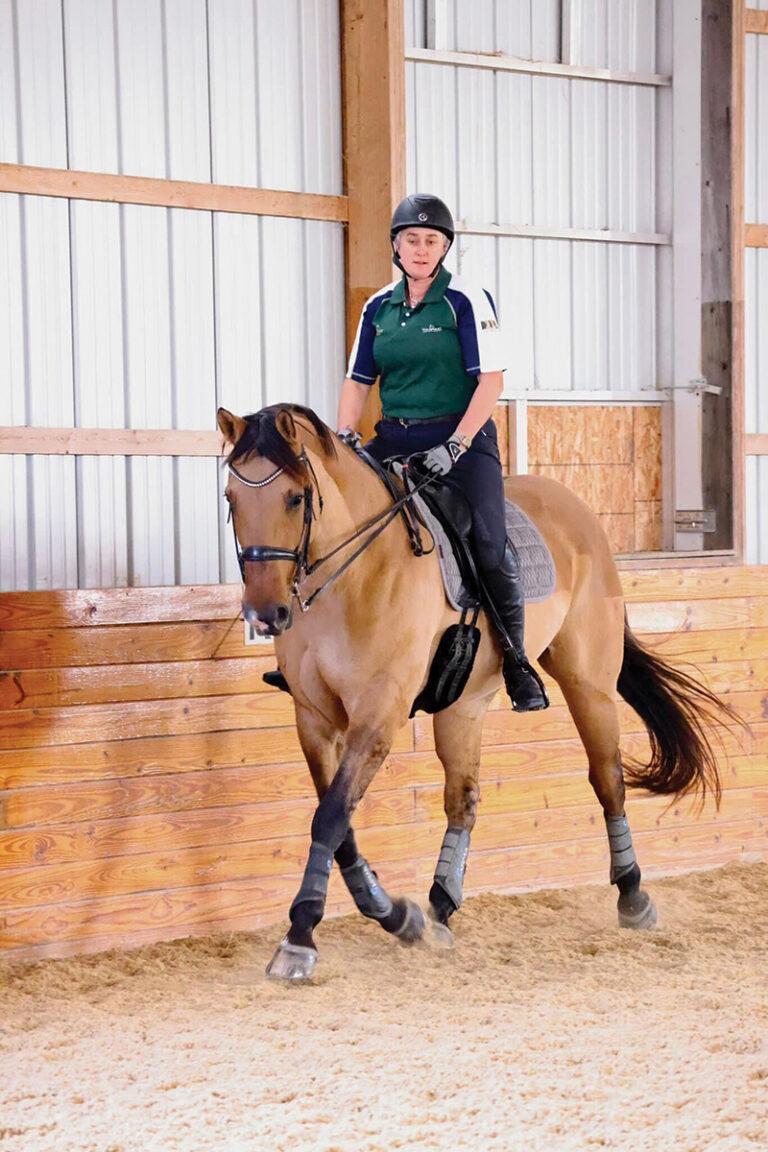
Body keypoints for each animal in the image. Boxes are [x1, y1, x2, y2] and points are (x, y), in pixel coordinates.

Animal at [217, 402, 737, 980]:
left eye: (294, 496)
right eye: (231, 499)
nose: (264, 614)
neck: (351, 578)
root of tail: (575, 507)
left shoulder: (378, 715)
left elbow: (330, 817)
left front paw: (301, 935)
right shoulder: (314, 719)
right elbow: (340, 823)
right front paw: (396, 915)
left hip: (590, 685)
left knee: (608, 781)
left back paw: (633, 896)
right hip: (464, 705)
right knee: (463, 798)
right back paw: (440, 906)